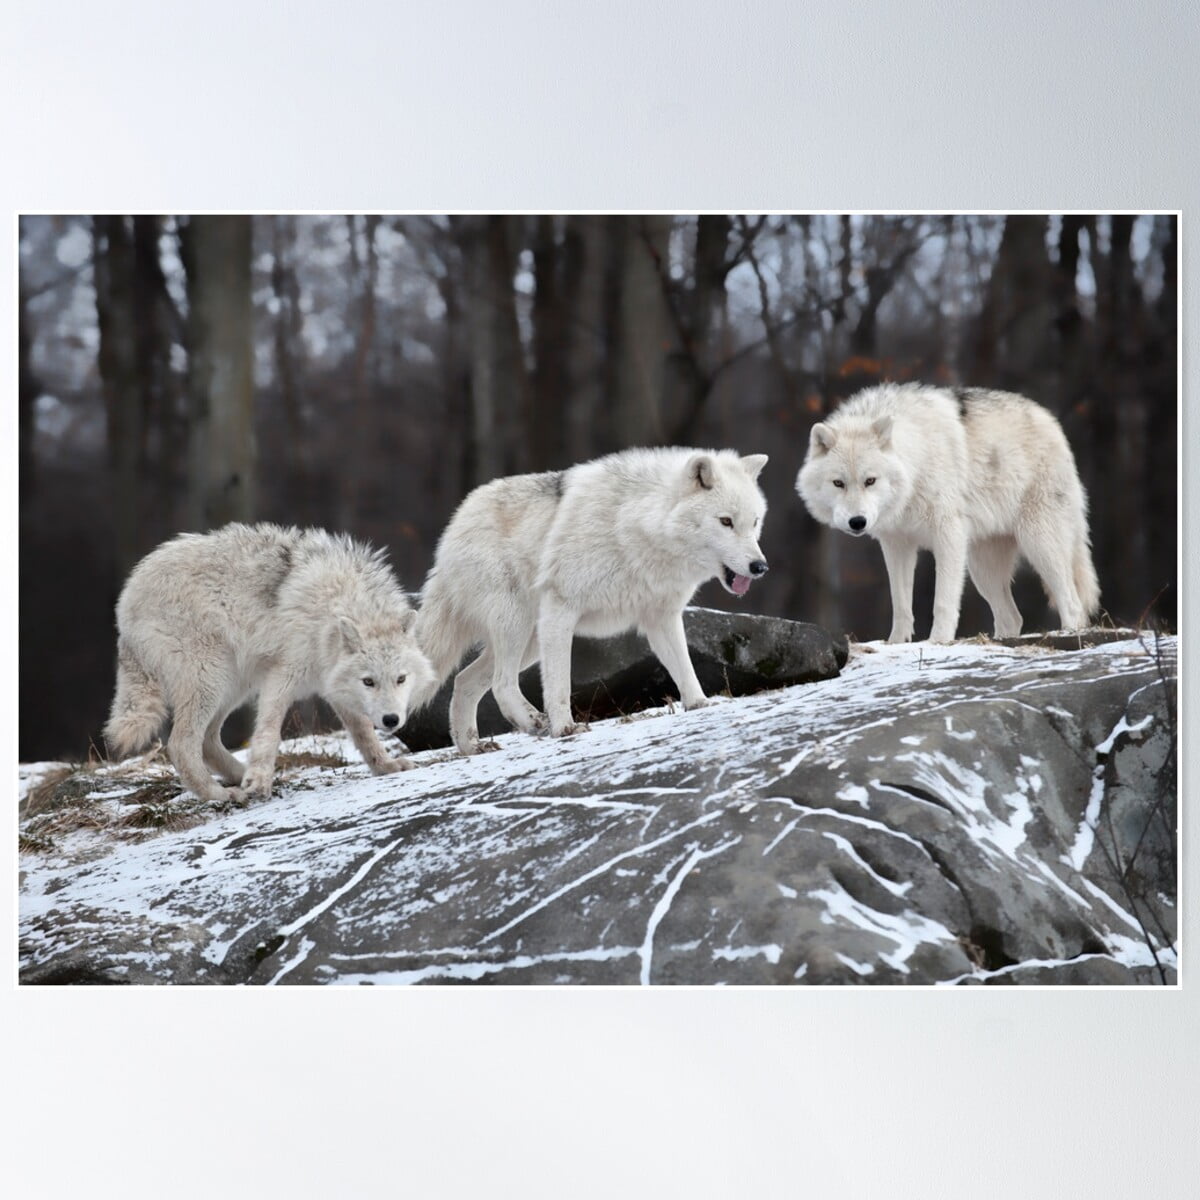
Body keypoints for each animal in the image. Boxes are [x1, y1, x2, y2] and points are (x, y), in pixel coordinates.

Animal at [104, 523, 435, 803]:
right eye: (369, 681)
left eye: (401, 679)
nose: (391, 720)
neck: (332, 607)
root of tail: (126, 599)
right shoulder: (282, 675)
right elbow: (268, 733)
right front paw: (259, 781)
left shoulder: (333, 684)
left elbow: (364, 734)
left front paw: (386, 766)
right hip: (212, 679)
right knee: (181, 745)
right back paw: (221, 794)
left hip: (234, 685)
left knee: (208, 742)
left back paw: (241, 777)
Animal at [414, 447, 770, 754]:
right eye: (725, 521)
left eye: (754, 522)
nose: (760, 566)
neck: (637, 526)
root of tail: (455, 523)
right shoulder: (561, 609)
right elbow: (559, 683)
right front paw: (564, 729)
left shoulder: (661, 618)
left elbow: (684, 668)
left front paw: (699, 705)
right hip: (518, 625)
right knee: (501, 683)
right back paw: (533, 723)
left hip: (530, 639)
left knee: (464, 680)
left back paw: (471, 746)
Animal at [795, 383, 1100, 643]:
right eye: (838, 483)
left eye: (870, 481)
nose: (857, 522)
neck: (916, 462)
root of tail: (1051, 421)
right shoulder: (896, 544)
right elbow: (901, 604)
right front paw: (896, 643)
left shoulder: (948, 535)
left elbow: (942, 601)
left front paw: (938, 641)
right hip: (982, 569)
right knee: (1012, 617)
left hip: (1038, 545)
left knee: (1072, 603)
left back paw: (1070, 634)